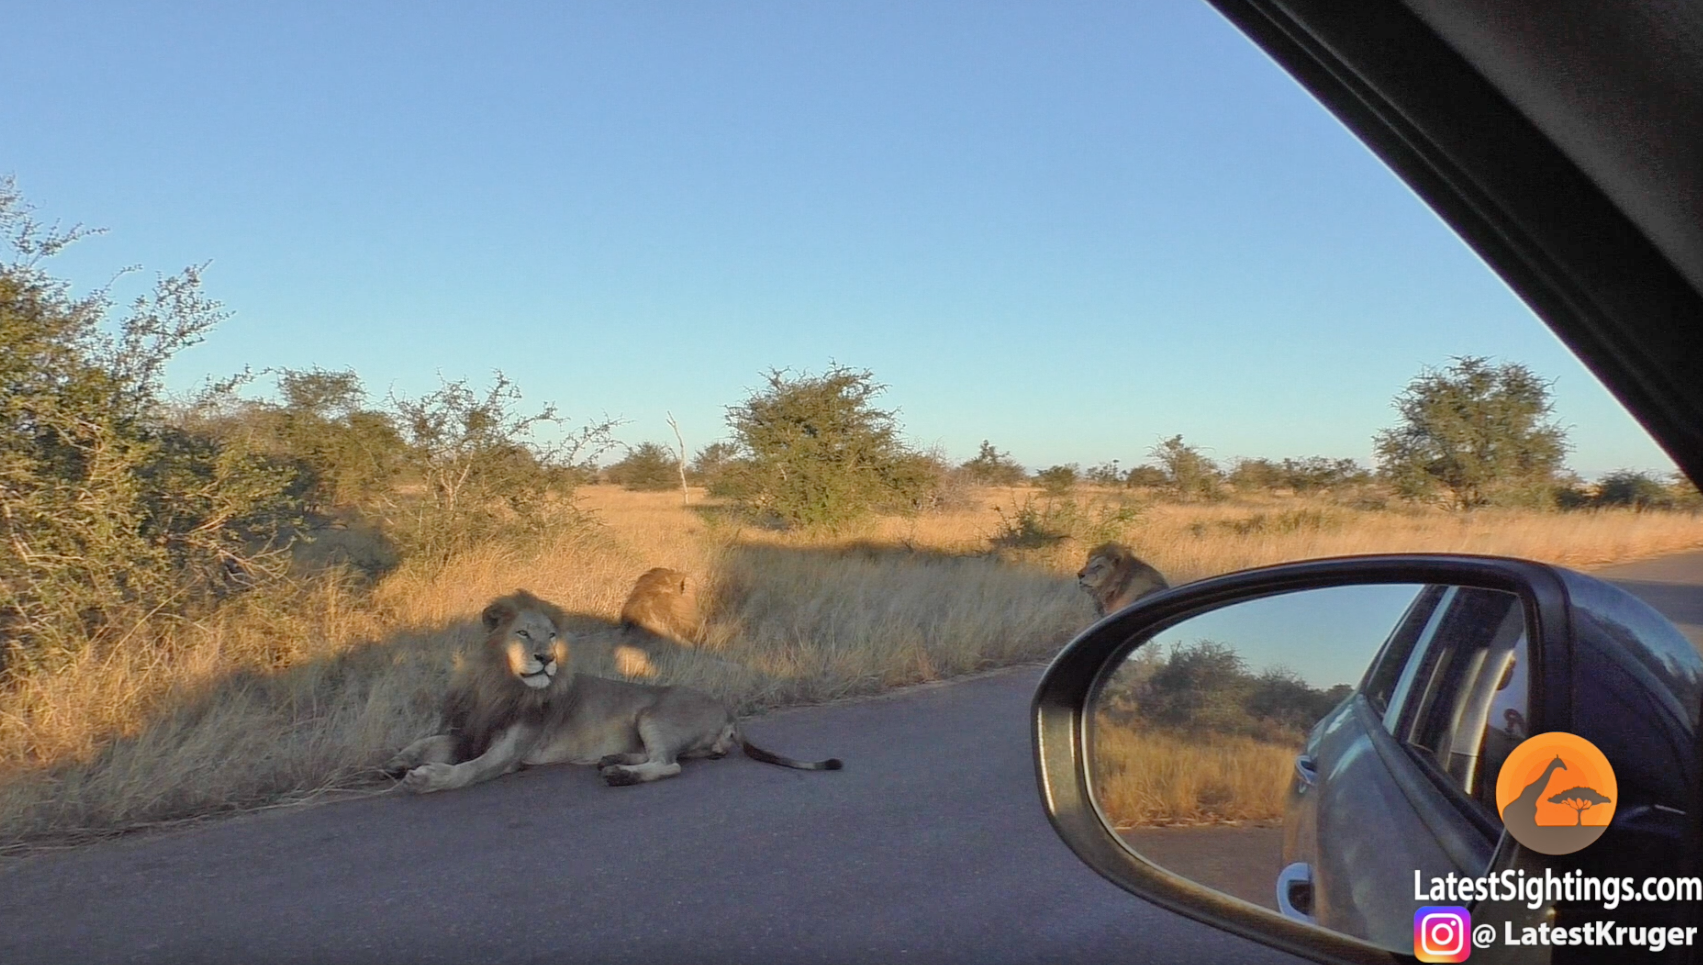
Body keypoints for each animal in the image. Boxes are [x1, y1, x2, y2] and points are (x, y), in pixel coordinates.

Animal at [383, 590, 840, 792]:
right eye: (524, 634)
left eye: (552, 636)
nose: (547, 658)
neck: (501, 680)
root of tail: (729, 710)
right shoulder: (472, 729)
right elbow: (432, 741)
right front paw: (399, 760)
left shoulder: (509, 753)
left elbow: (469, 770)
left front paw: (426, 778)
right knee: (663, 757)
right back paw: (612, 760)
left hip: (654, 713)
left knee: (668, 764)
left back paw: (620, 774)